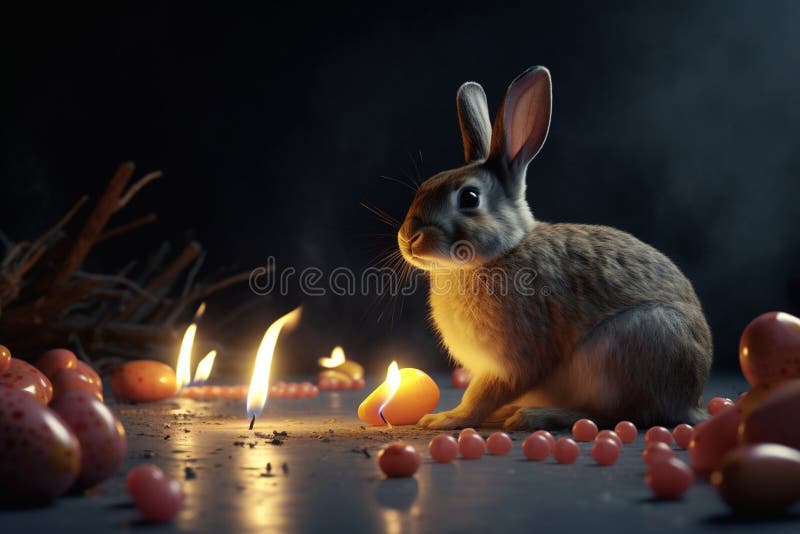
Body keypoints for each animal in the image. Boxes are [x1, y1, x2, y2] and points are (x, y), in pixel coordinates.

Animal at [398, 66, 713, 431]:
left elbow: (483, 393)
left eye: (470, 198)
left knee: (621, 414)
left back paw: (534, 415)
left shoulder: (517, 357)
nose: (408, 237)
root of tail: (691, 401)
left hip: (623, 350)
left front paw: (445, 418)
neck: (499, 253)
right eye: (423, 186)